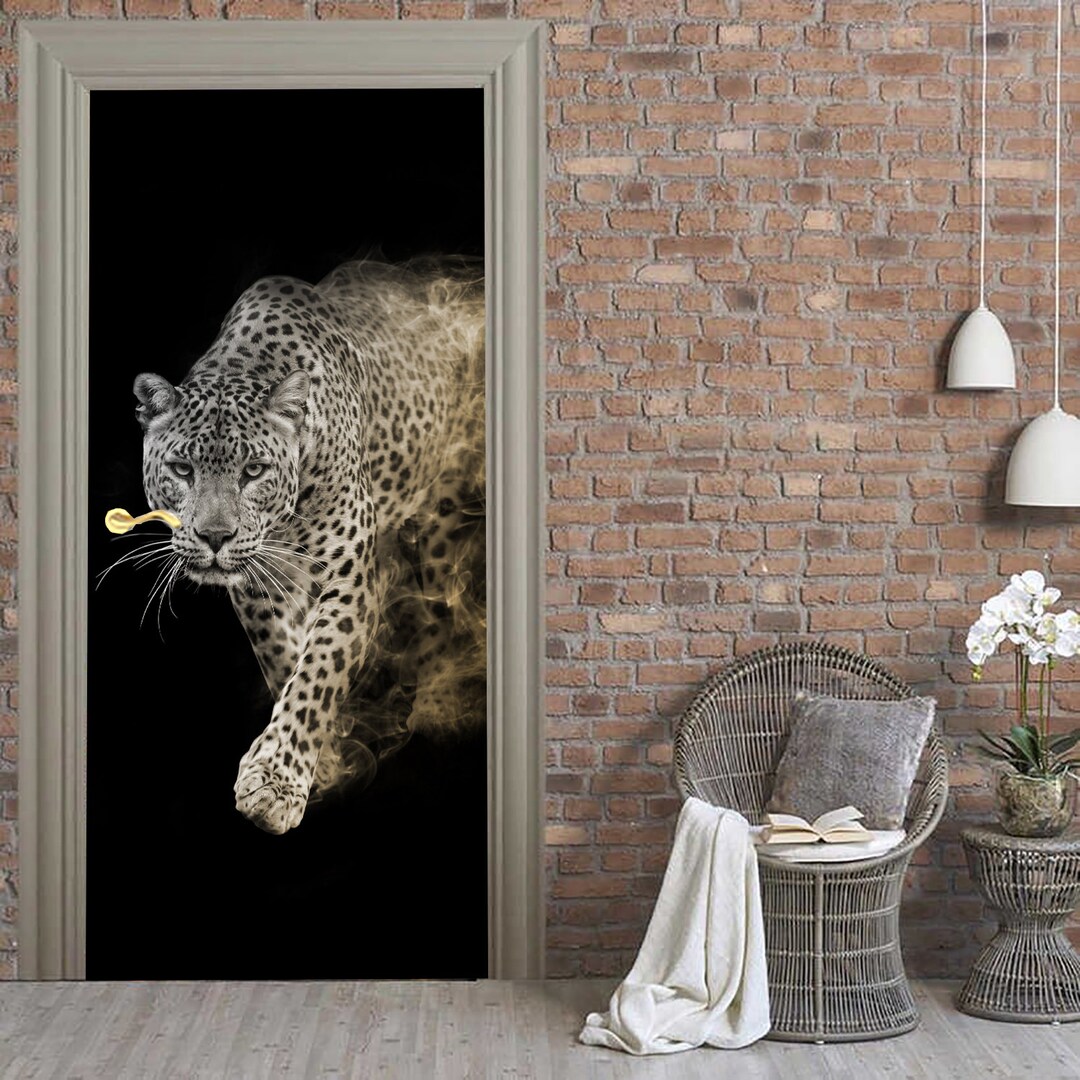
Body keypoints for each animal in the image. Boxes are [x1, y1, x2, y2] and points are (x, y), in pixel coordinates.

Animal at [131, 257, 486, 835]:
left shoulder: (349, 581)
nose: (214, 537)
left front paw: (276, 783)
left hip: (444, 512)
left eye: (254, 470)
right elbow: (284, 662)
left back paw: (436, 707)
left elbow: (318, 671)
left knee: (439, 605)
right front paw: (324, 761)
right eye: (182, 470)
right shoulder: (258, 587)